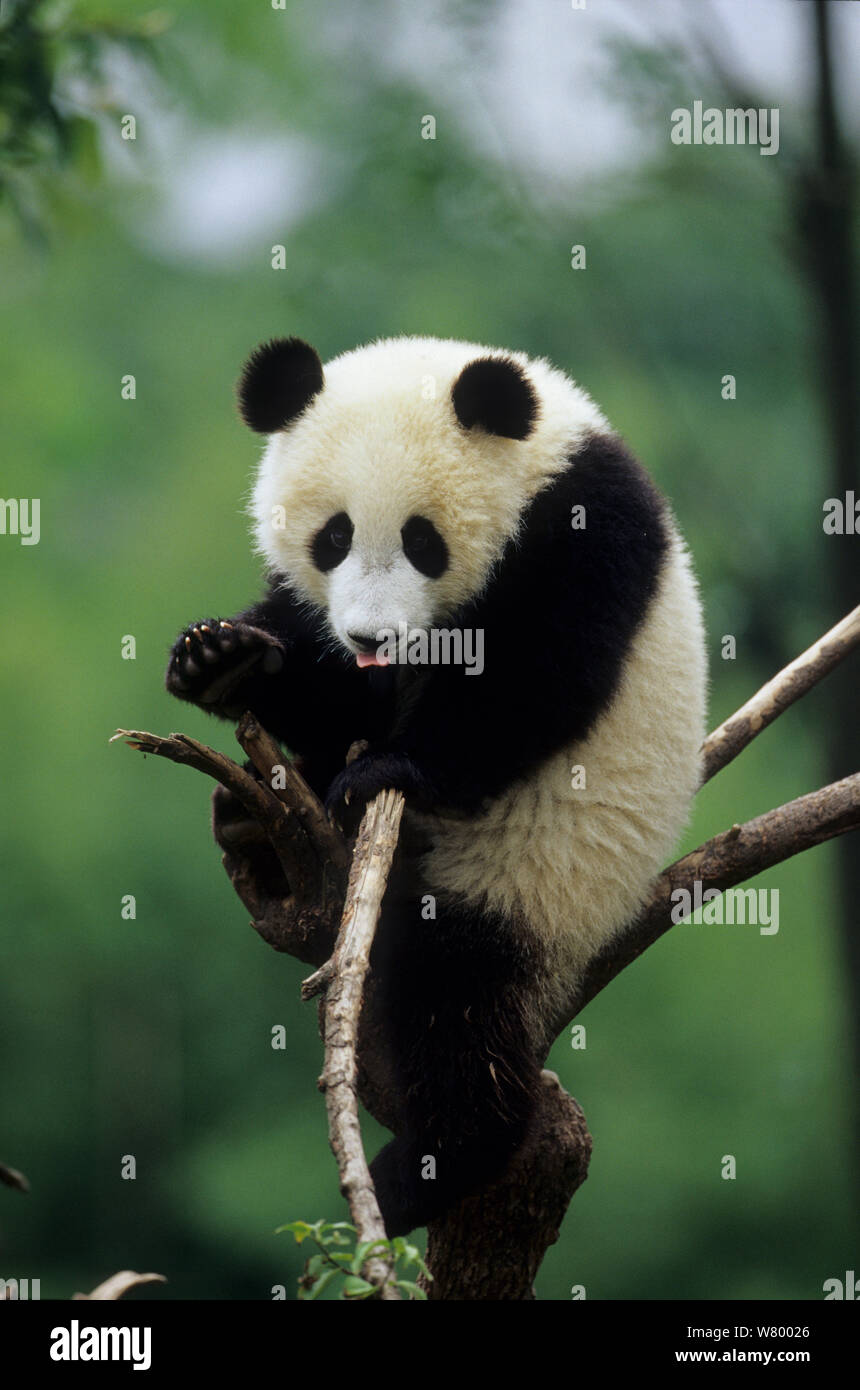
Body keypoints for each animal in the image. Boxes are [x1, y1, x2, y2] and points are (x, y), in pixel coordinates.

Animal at [166, 335, 707, 1236]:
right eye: (333, 537)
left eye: (424, 541)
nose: (371, 636)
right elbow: (328, 688)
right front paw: (222, 658)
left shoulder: (580, 531)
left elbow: (534, 683)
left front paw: (389, 771)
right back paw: (250, 828)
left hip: (531, 870)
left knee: (457, 999)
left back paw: (422, 1166)